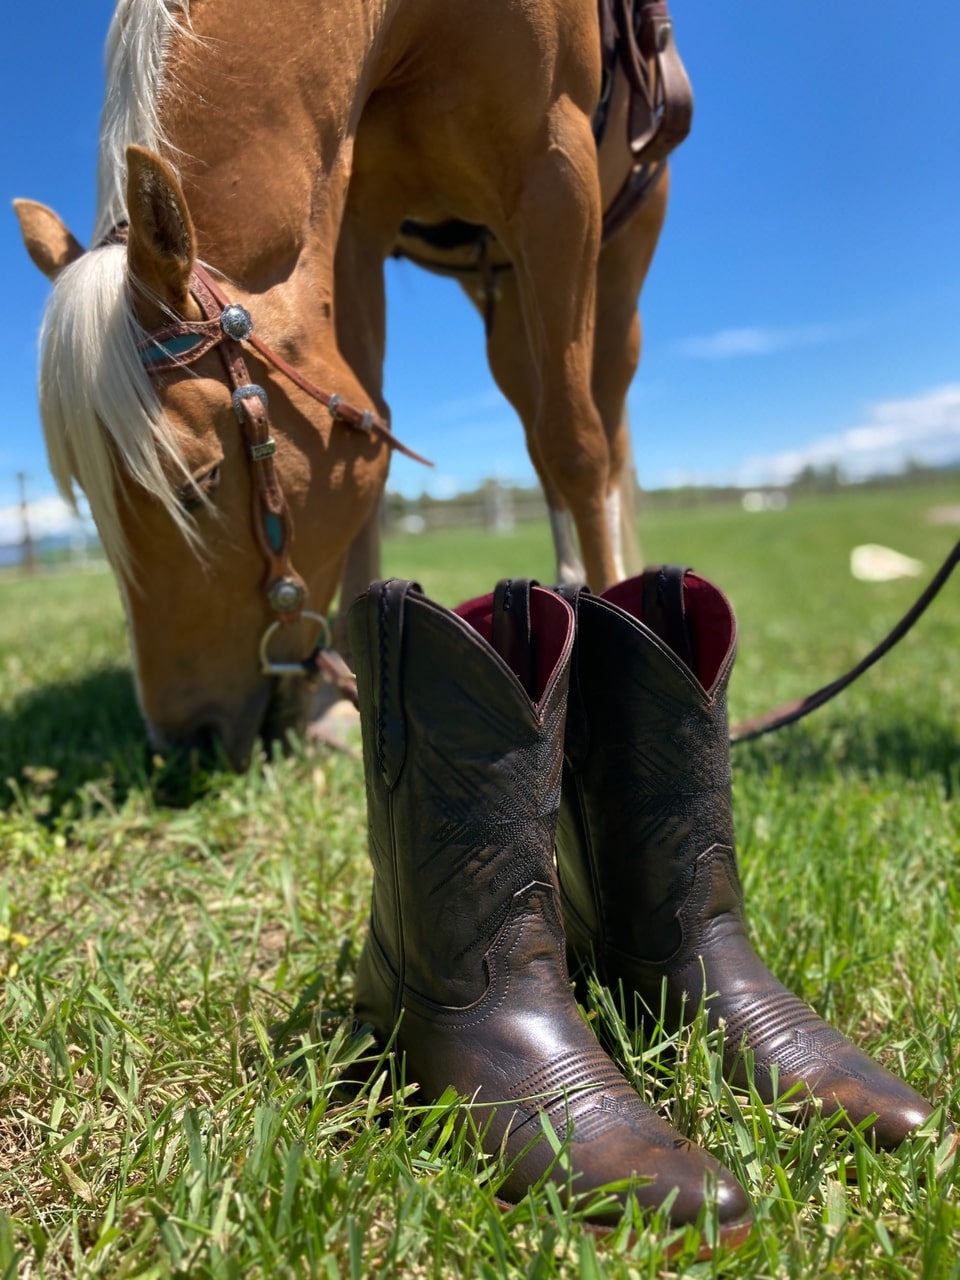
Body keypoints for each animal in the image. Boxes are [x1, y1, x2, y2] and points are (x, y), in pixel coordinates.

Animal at [15, 0, 690, 768]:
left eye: (198, 482)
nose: (182, 743)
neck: (423, 25)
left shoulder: (555, 170)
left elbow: (577, 447)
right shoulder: (357, 213)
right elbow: (373, 422)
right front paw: (341, 701)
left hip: (614, 264)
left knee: (593, 427)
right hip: (510, 300)